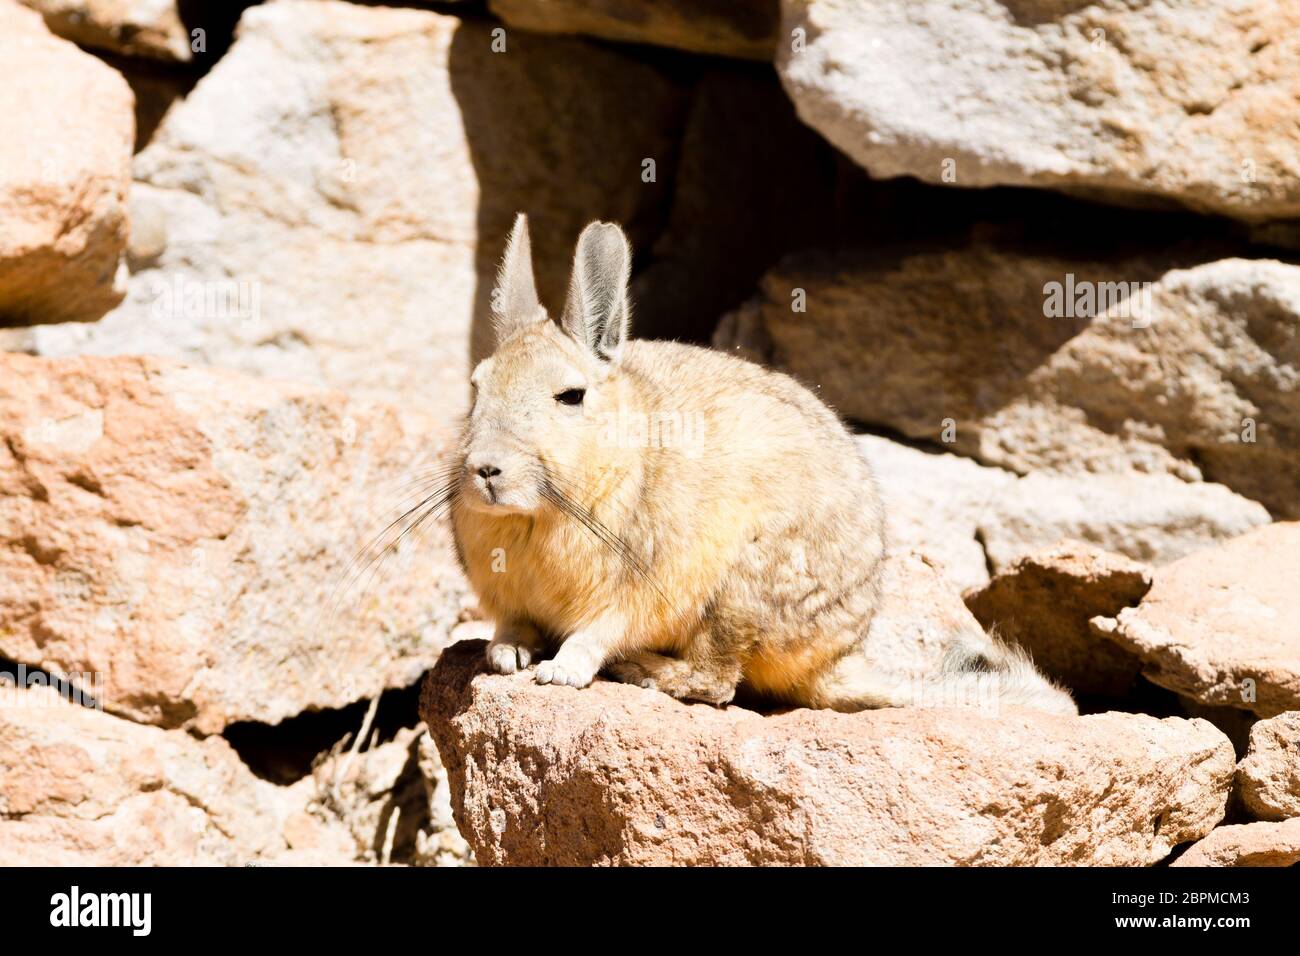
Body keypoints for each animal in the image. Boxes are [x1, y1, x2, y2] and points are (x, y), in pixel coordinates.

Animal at [449, 214, 1076, 716]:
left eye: (571, 396)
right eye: (476, 387)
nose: (486, 469)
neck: (537, 516)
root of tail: (839, 659)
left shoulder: (642, 589)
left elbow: (599, 632)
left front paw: (557, 671)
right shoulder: (505, 596)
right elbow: (510, 624)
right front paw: (505, 655)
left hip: (741, 590)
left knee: (716, 682)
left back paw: (644, 669)